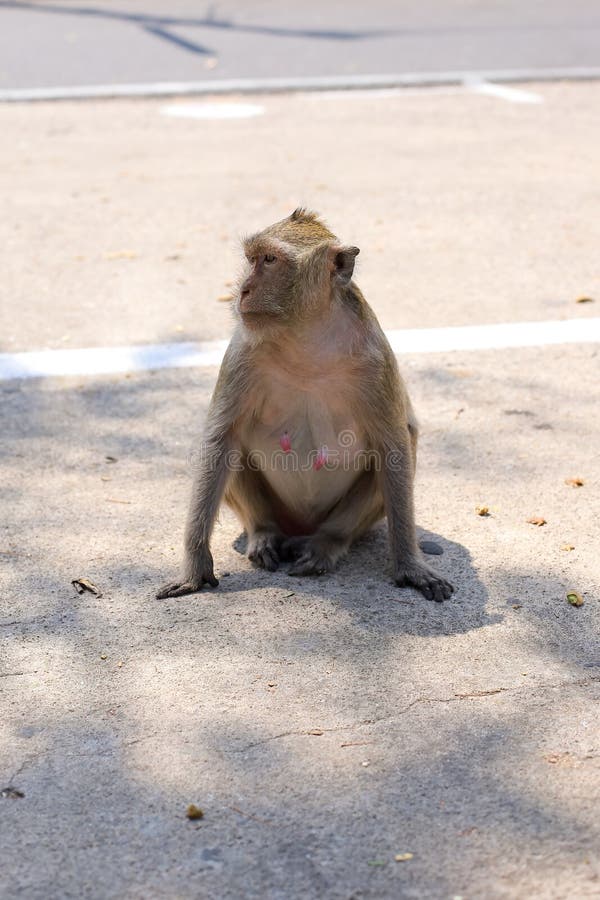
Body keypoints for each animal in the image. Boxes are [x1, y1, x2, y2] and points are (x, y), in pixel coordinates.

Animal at [157, 209, 453, 603]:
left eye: (270, 260)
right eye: (252, 259)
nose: (243, 290)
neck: (306, 338)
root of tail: (299, 527)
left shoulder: (375, 361)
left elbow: (393, 447)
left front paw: (409, 565)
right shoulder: (242, 353)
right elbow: (220, 441)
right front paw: (196, 568)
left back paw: (328, 543)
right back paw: (263, 532)